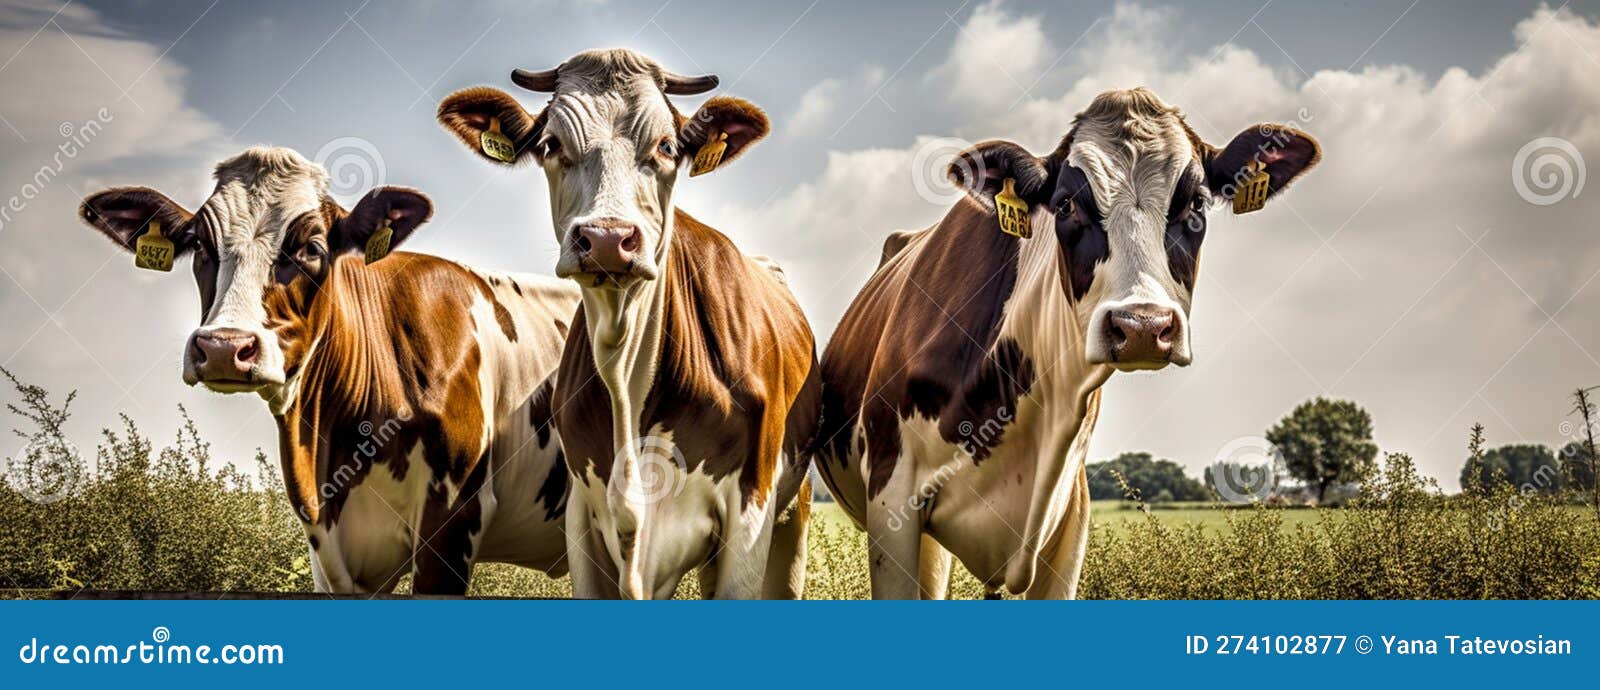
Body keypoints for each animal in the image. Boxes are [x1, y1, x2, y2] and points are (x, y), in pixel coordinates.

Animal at [437, 48, 820, 599]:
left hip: (795, 512)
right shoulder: (585, 520)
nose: (606, 238)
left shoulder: (750, 517)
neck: (625, 374)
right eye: (551, 144)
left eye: (666, 146)